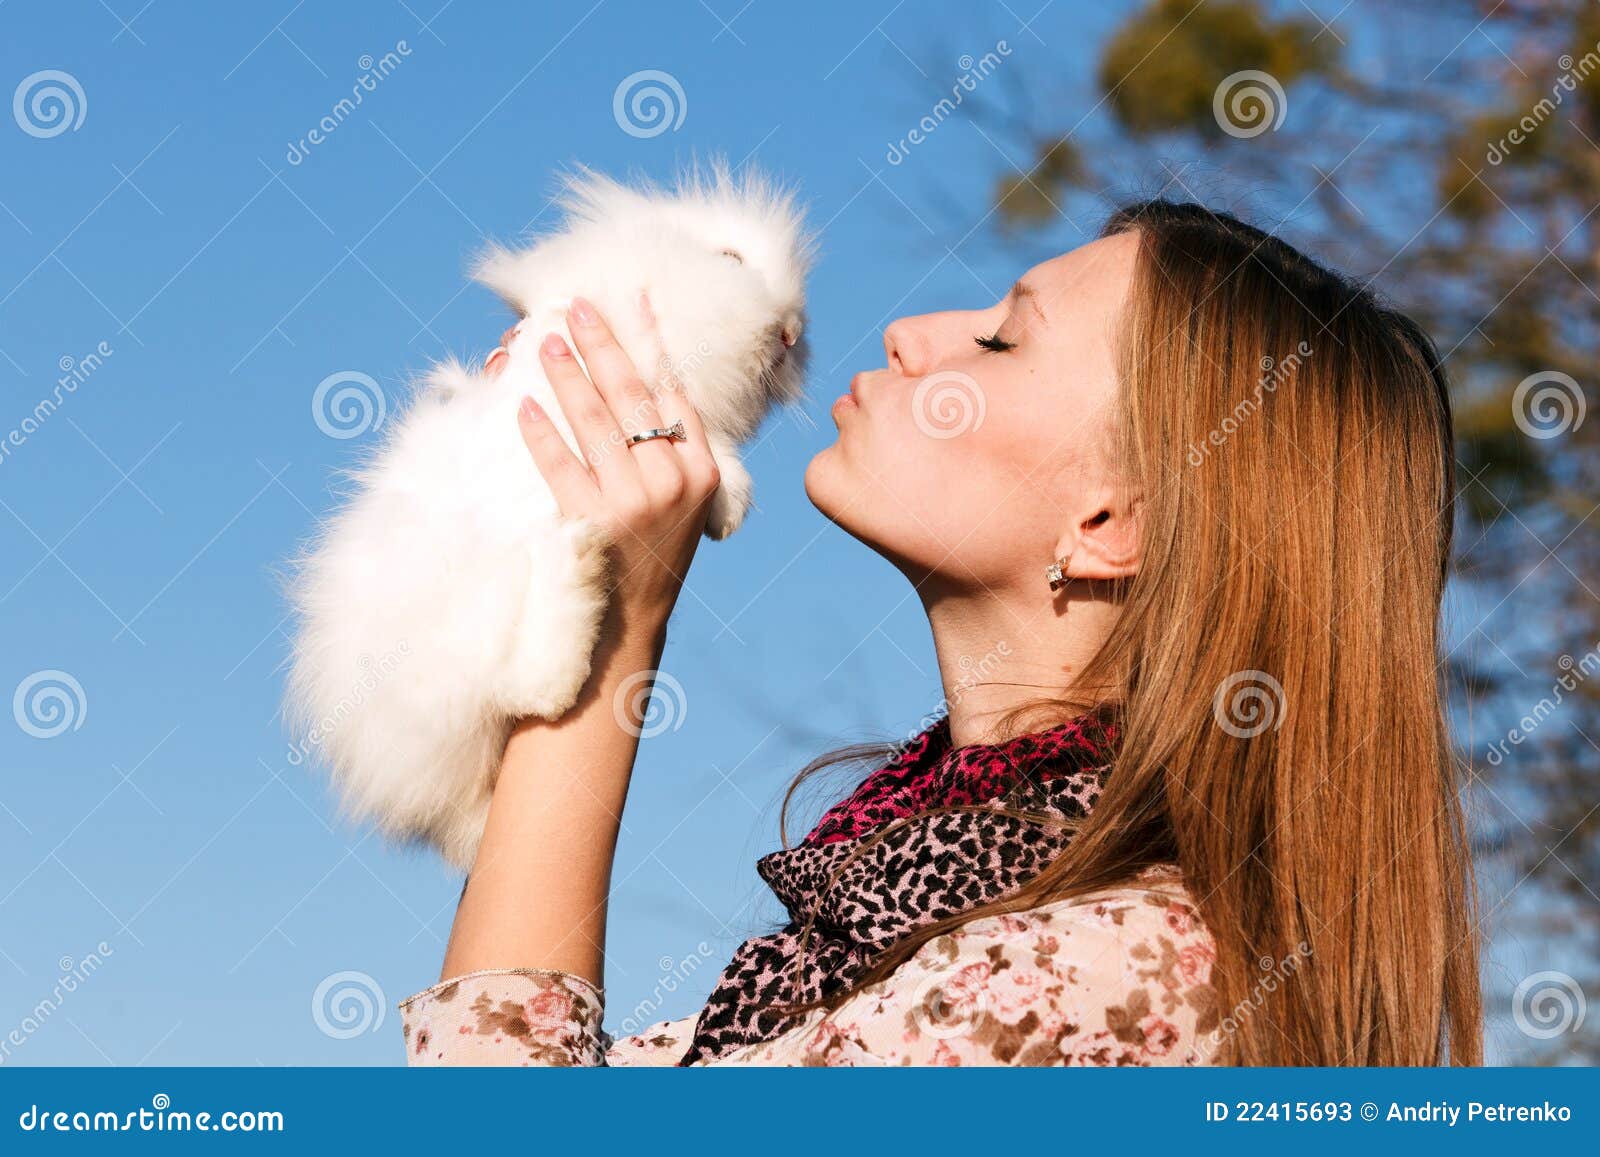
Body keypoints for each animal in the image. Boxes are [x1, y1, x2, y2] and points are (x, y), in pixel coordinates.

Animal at [287, 163, 813, 870]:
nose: (791, 335)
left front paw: (726, 507)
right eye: (730, 259)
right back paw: (574, 562)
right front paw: (731, 507)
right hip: (463, 620)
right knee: (528, 688)